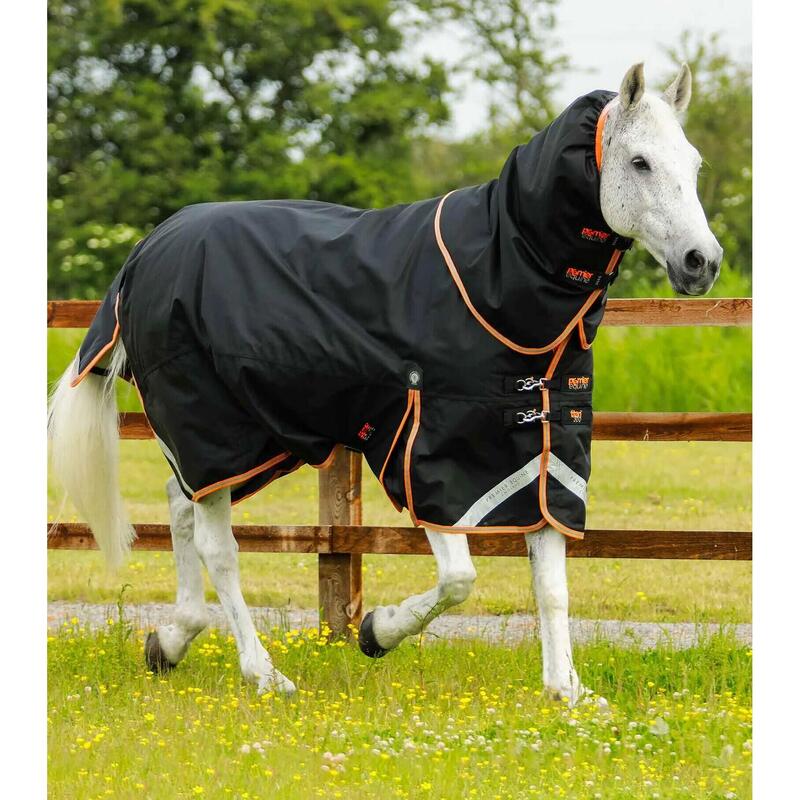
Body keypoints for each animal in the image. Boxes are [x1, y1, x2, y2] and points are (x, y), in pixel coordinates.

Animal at [48, 62, 722, 704]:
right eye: (639, 161)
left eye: (693, 163)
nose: (703, 262)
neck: (498, 281)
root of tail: (145, 249)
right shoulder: (428, 454)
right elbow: (459, 580)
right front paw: (376, 631)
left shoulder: (542, 454)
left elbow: (551, 581)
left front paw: (567, 691)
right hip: (212, 426)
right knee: (219, 546)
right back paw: (264, 675)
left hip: (260, 440)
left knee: (178, 502)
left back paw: (169, 641)